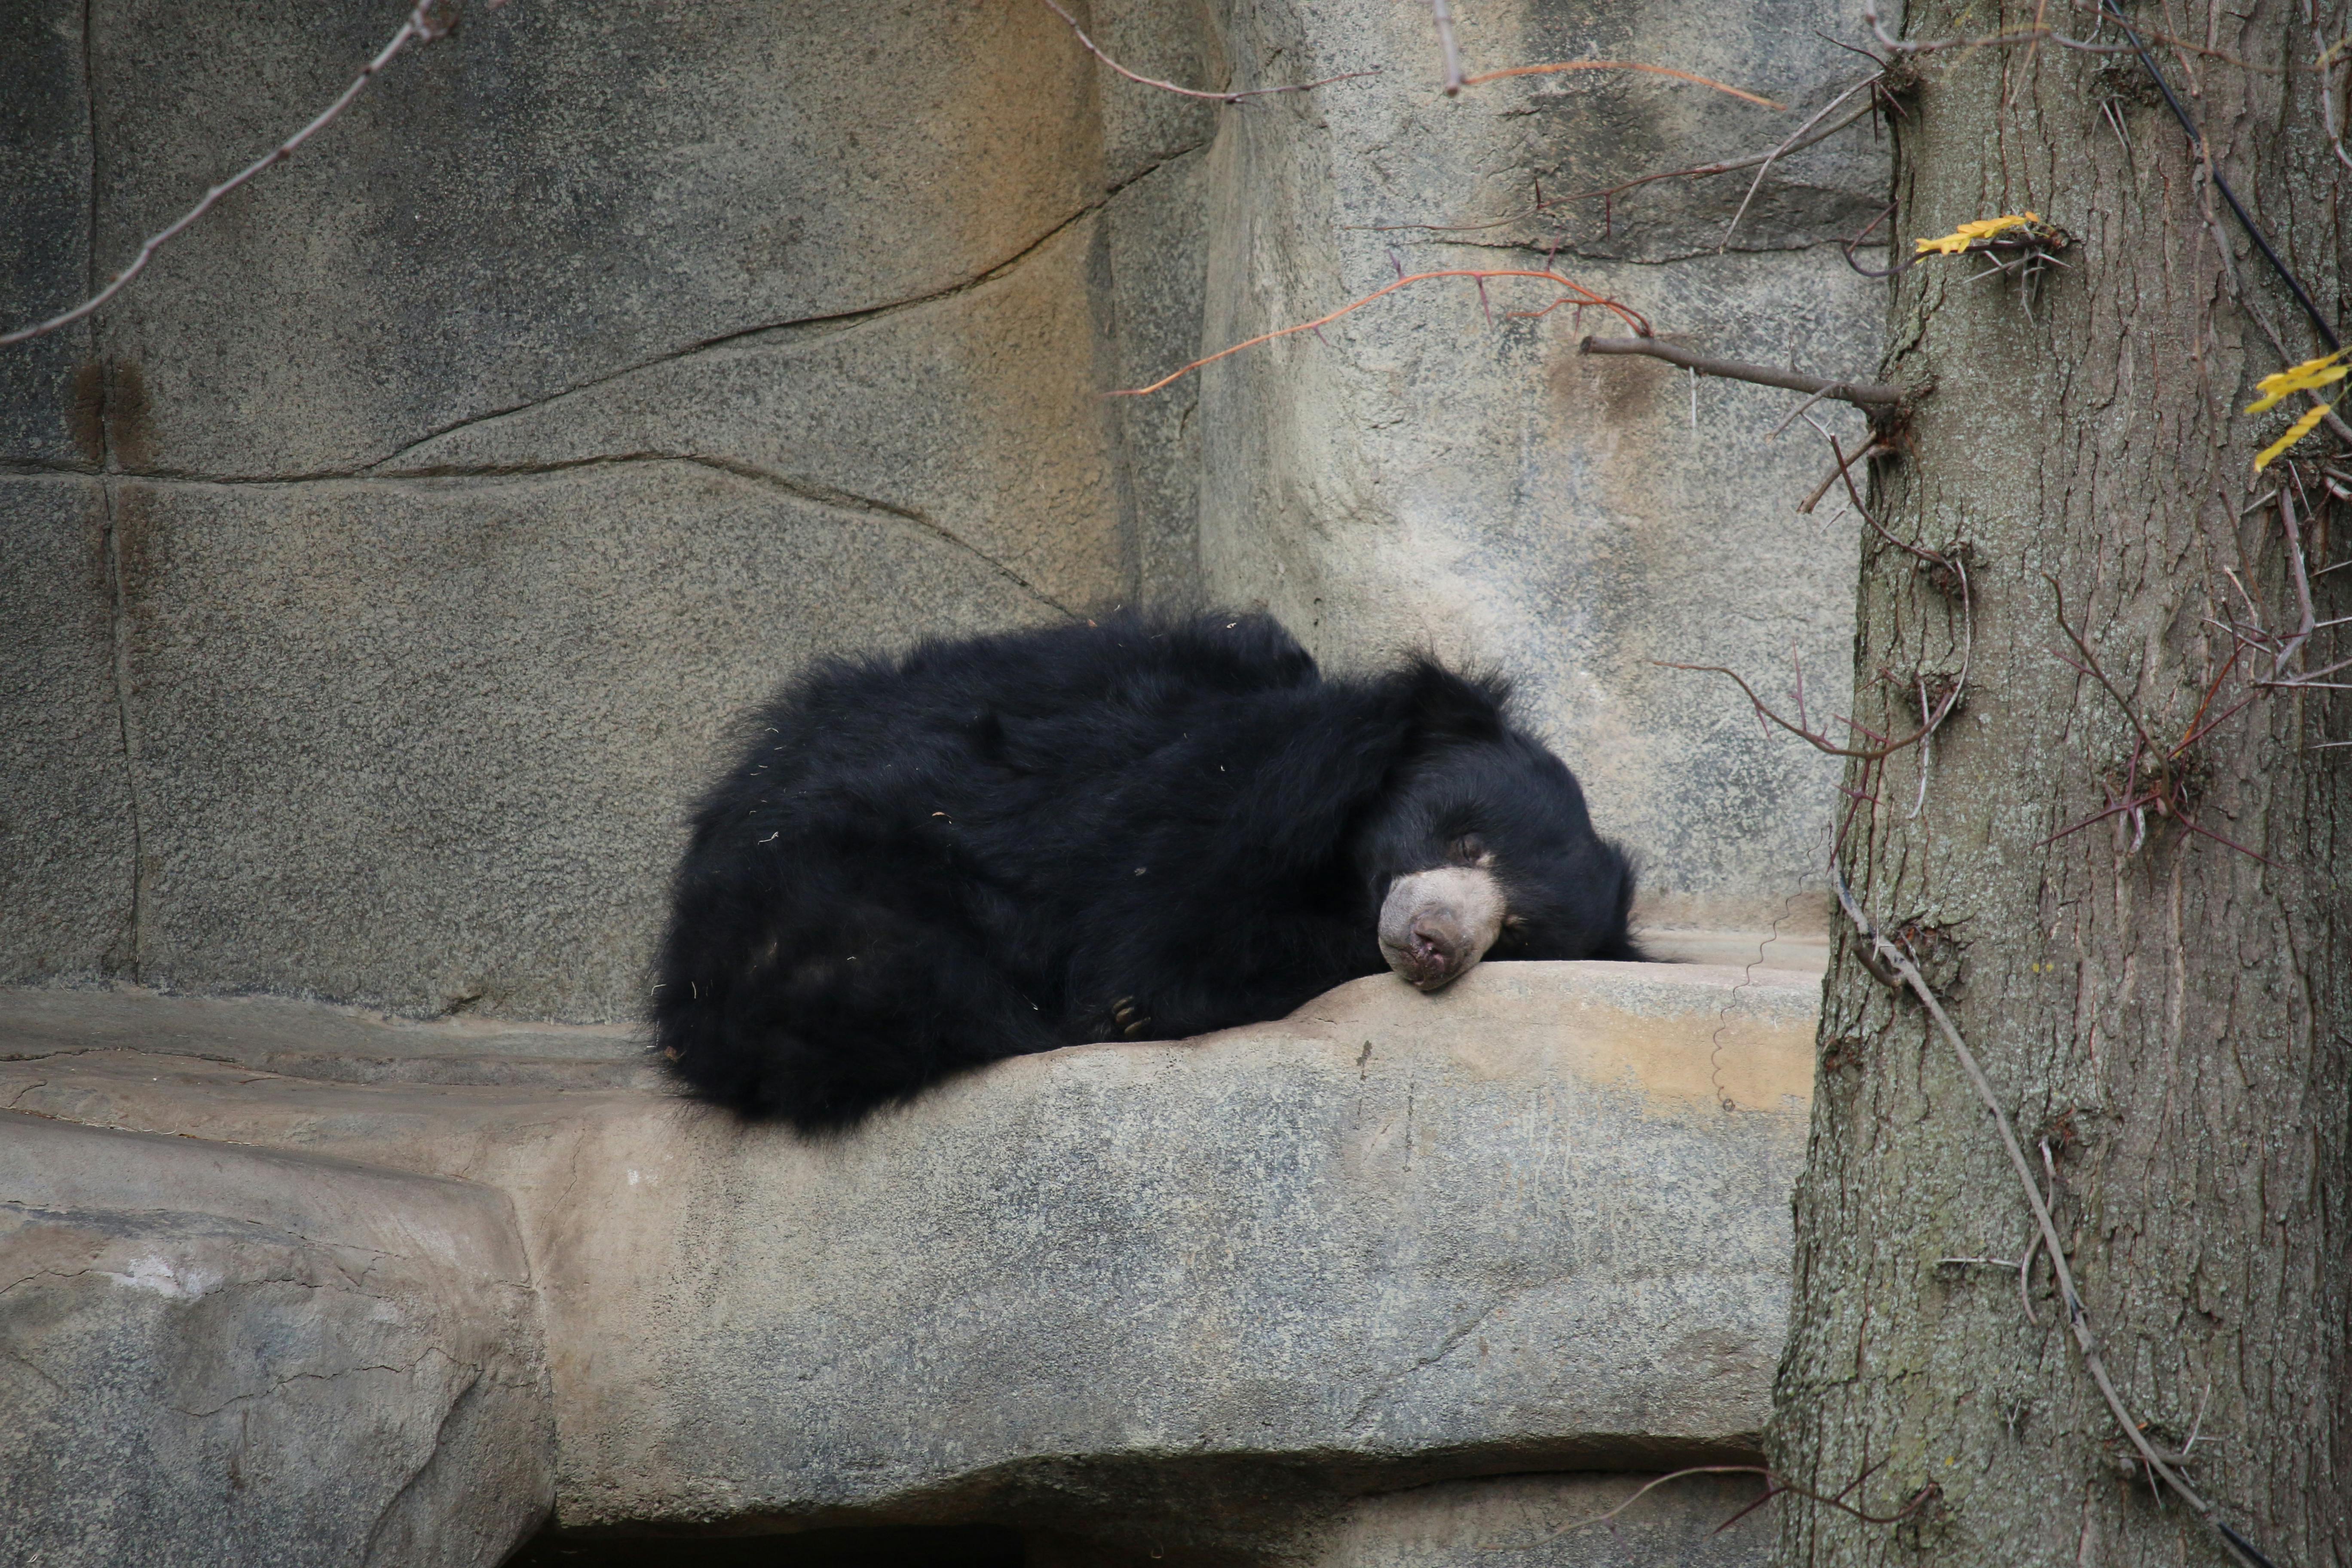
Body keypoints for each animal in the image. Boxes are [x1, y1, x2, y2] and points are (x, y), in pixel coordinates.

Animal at [652, 612, 1639, 1130]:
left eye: (1515, 933)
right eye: (1465, 842)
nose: (1432, 943)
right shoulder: (1208, 804)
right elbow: (1158, 949)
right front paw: (1126, 1010)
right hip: (834, 903)